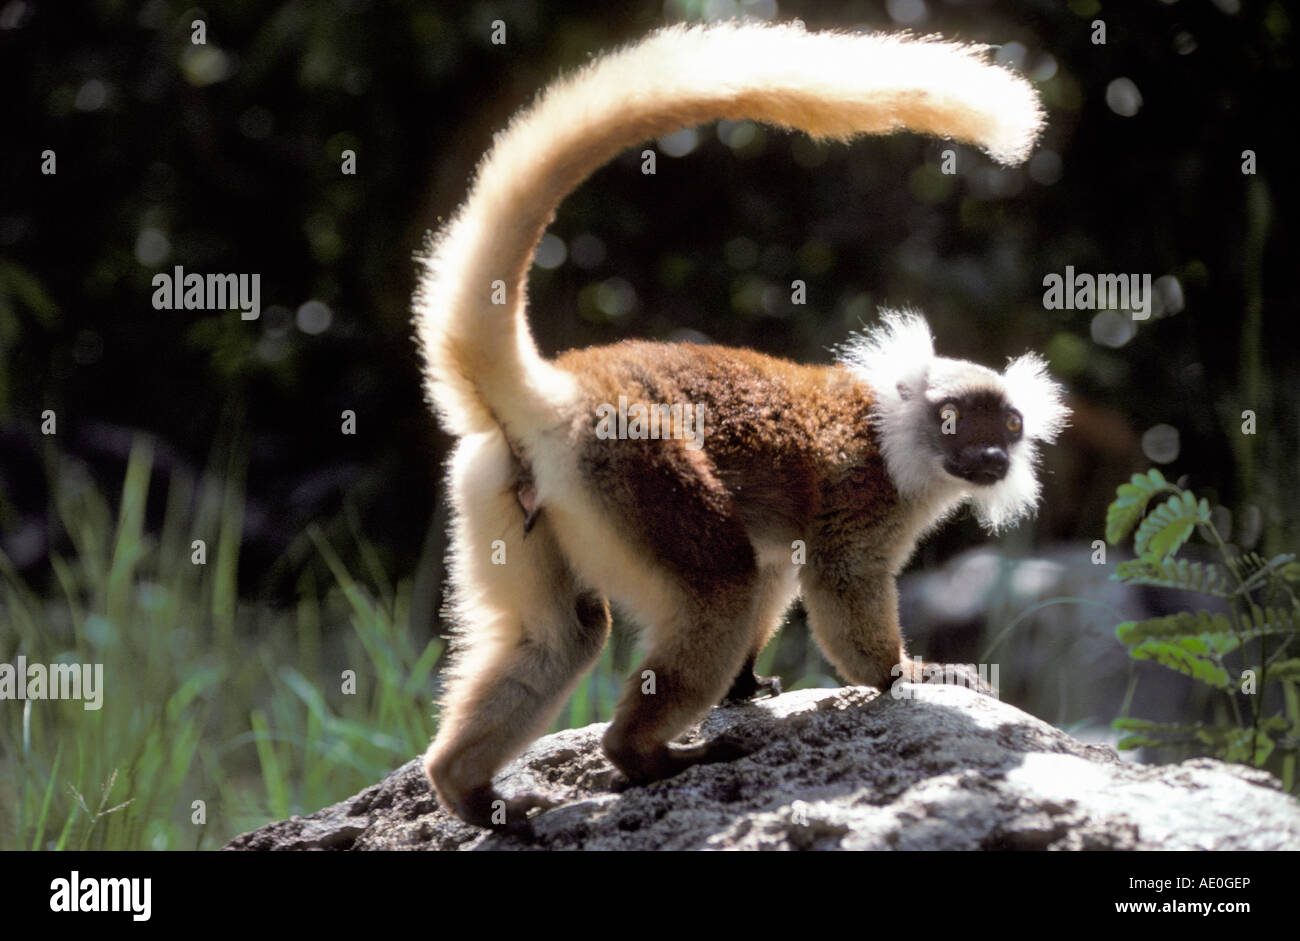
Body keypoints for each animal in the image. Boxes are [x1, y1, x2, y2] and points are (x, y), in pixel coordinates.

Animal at [412, 21, 1070, 832]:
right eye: (954, 421)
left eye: (1007, 426)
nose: (989, 457)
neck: (894, 435)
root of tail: (562, 391)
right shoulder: (867, 496)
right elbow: (835, 578)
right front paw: (907, 673)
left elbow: (781, 568)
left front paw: (745, 685)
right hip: (628, 461)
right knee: (719, 581)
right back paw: (643, 756)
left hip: (501, 491)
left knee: (564, 632)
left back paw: (468, 790)